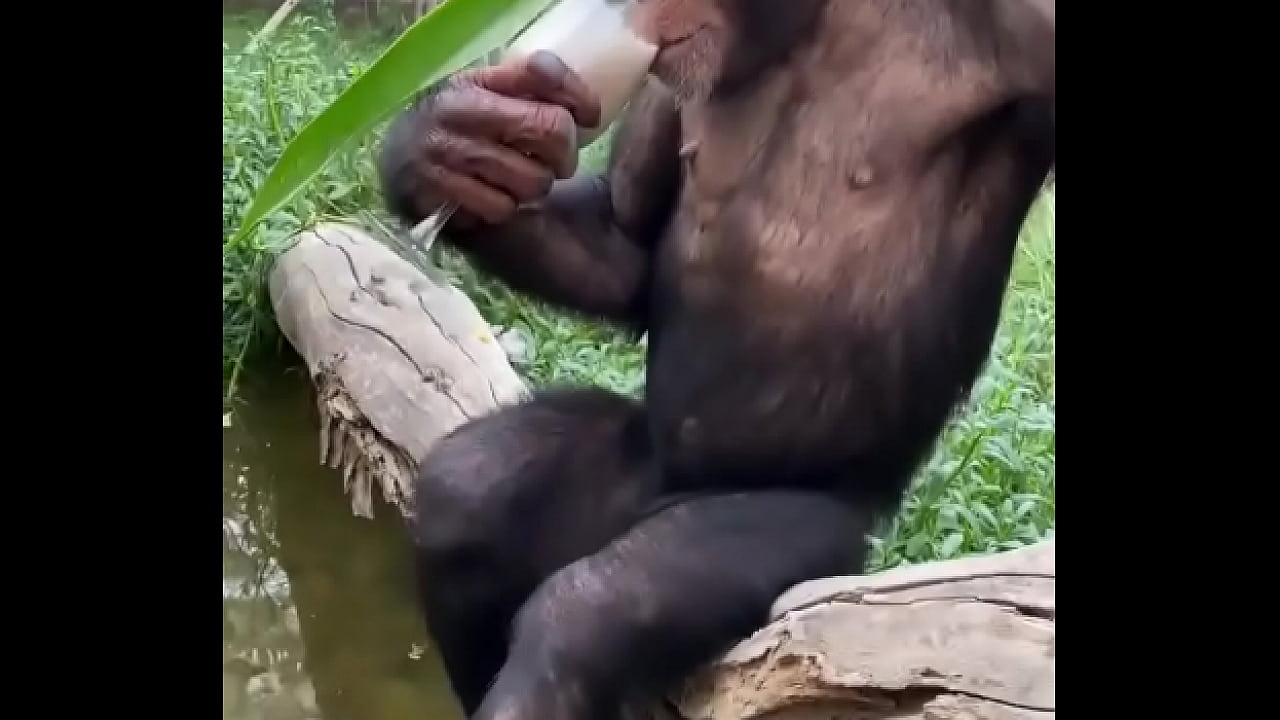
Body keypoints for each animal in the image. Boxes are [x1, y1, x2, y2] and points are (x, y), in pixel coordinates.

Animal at [377, 1, 1055, 718]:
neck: (806, 31)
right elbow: (624, 243)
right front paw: (448, 147)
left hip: (815, 524)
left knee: (589, 613)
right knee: (470, 493)